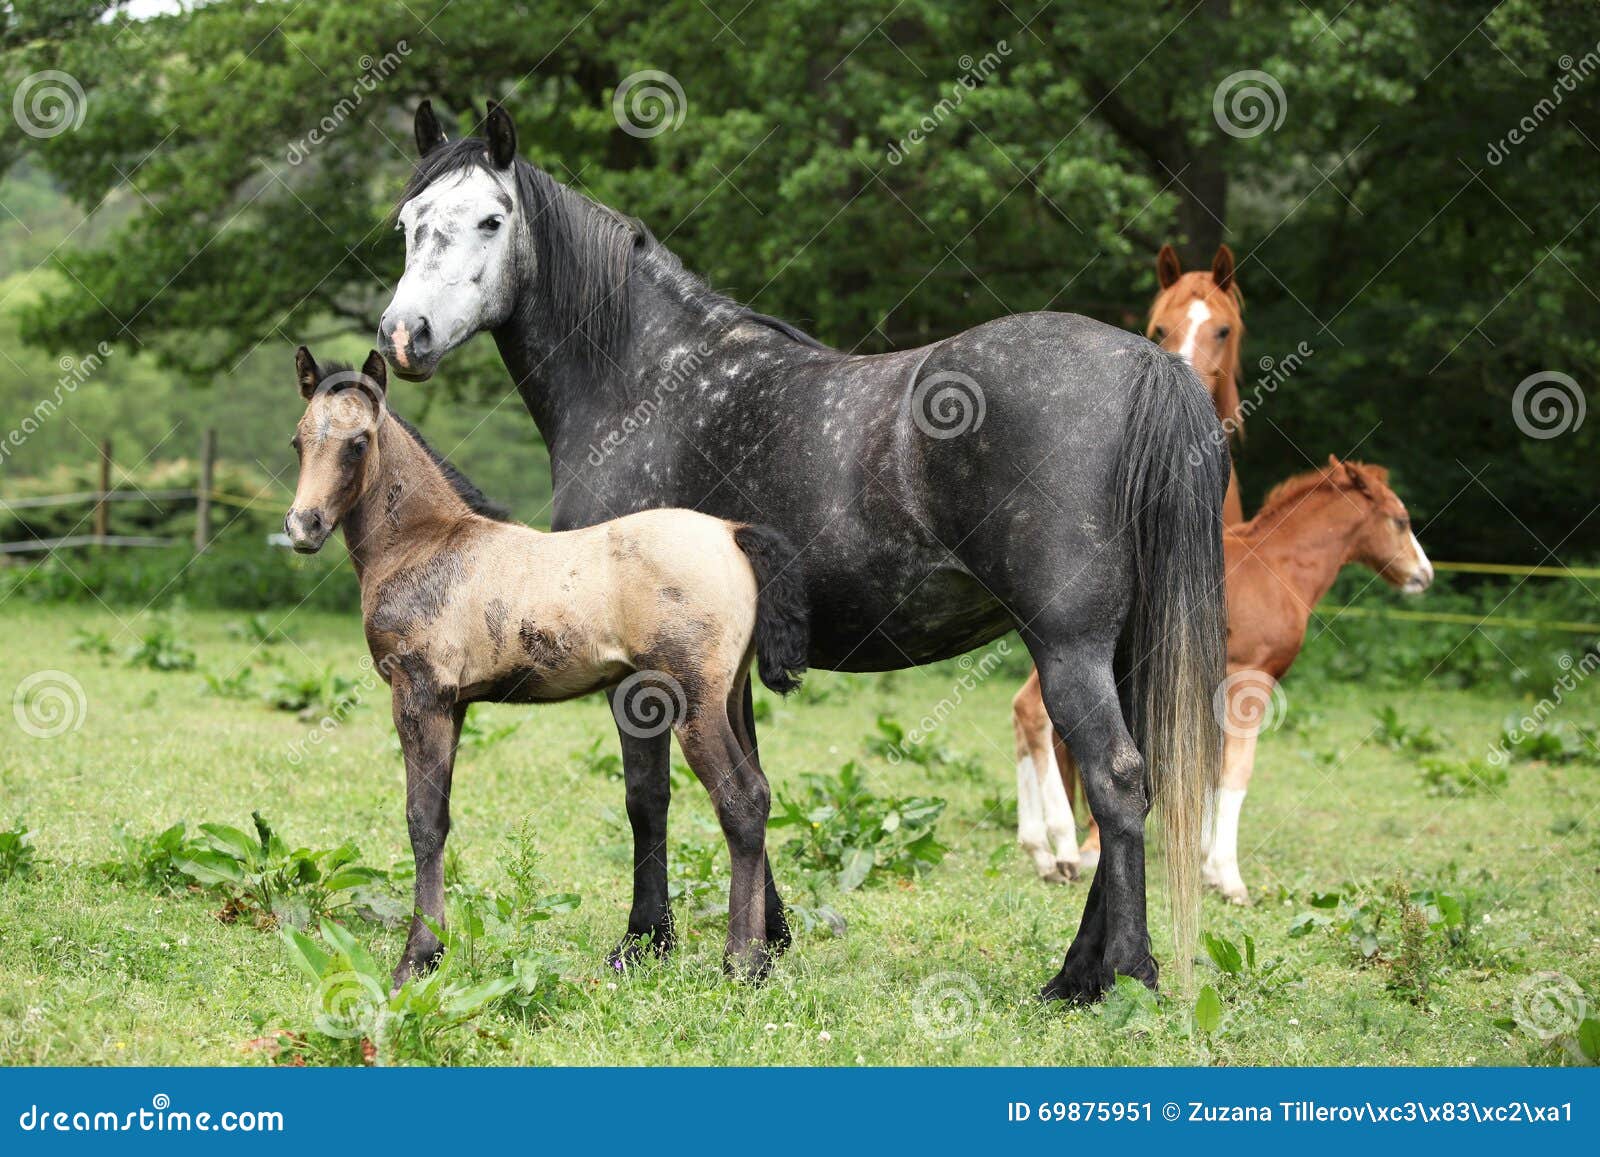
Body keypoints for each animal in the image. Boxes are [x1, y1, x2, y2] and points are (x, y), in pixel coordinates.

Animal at [283, 347, 810, 988]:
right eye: (298, 440)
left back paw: (741, 963)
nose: (302, 527)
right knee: (760, 791)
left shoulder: (419, 694)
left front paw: (417, 958)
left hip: (692, 699)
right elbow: (439, 816)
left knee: (741, 801)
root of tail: (733, 533)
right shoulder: (454, 704)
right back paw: (760, 957)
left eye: (358, 443)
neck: (426, 542)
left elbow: (422, 820)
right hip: (729, 694)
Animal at [1021, 458, 1433, 902]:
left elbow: (1208, 766)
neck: (1279, 567)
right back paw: (1063, 848)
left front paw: (1205, 862)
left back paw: (1040, 851)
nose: (1424, 574)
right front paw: (1228, 876)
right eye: (1401, 520)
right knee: (1033, 713)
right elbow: (1236, 772)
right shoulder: (1253, 677)